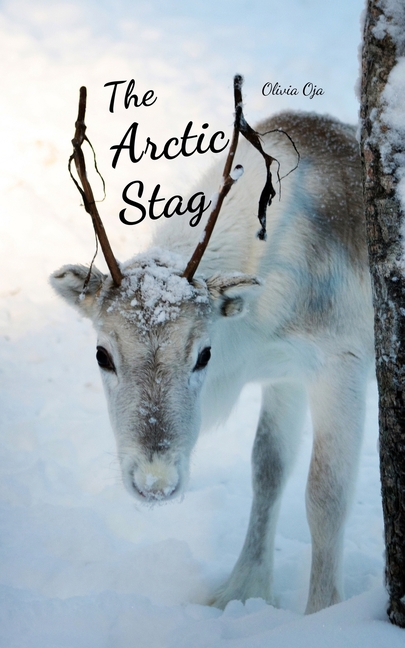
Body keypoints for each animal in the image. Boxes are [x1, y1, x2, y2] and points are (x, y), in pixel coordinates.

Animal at [50, 80, 374, 615]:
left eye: (203, 354)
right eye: (102, 354)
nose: (155, 482)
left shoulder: (340, 364)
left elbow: (326, 494)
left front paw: (323, 614)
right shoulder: (284, 374)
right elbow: (268, 469)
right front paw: (241, 591)